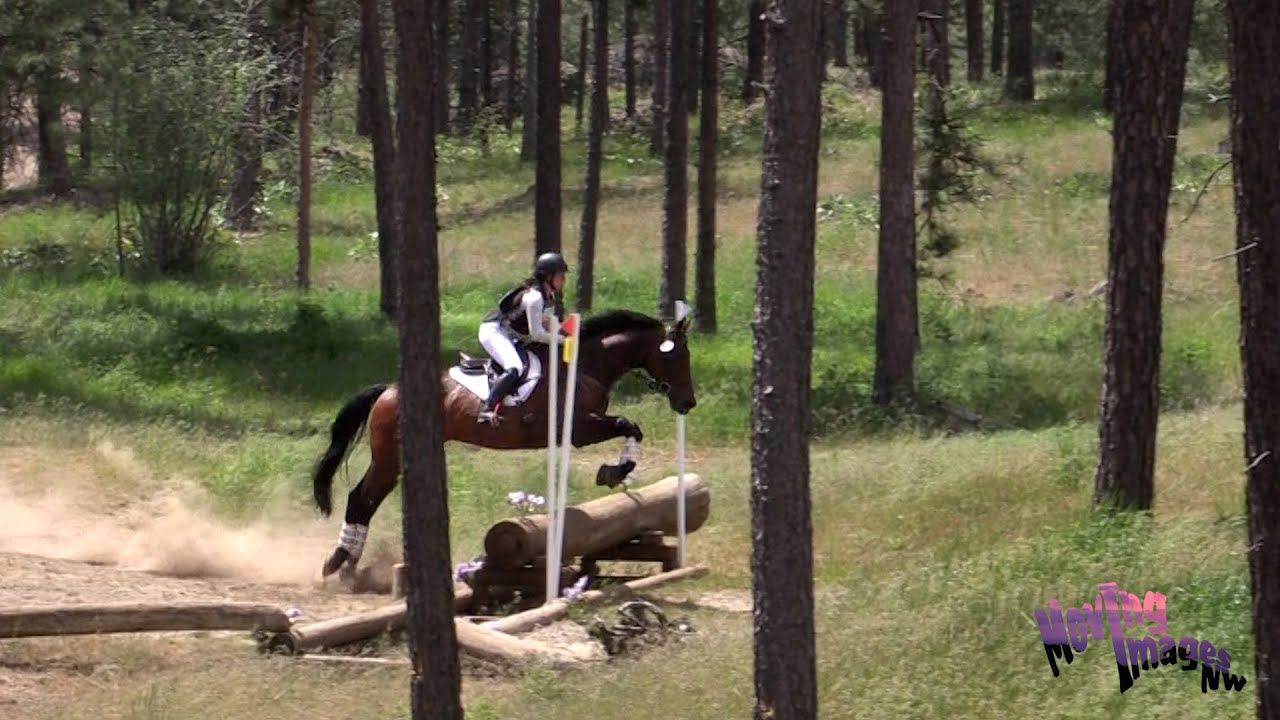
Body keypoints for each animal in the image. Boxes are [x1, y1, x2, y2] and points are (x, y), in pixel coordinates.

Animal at [309, 309, 698, 578]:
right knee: (361, 497)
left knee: (367, 499)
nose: (688, 403)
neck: (585, 365)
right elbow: (628, 425)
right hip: (390, 456)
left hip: (393, 459)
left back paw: (348, 564)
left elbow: (631, 428)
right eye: (676, 356)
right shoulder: (578, 430)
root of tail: (387, 391)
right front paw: (613, 472)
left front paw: (617, 471)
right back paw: (338, 562)